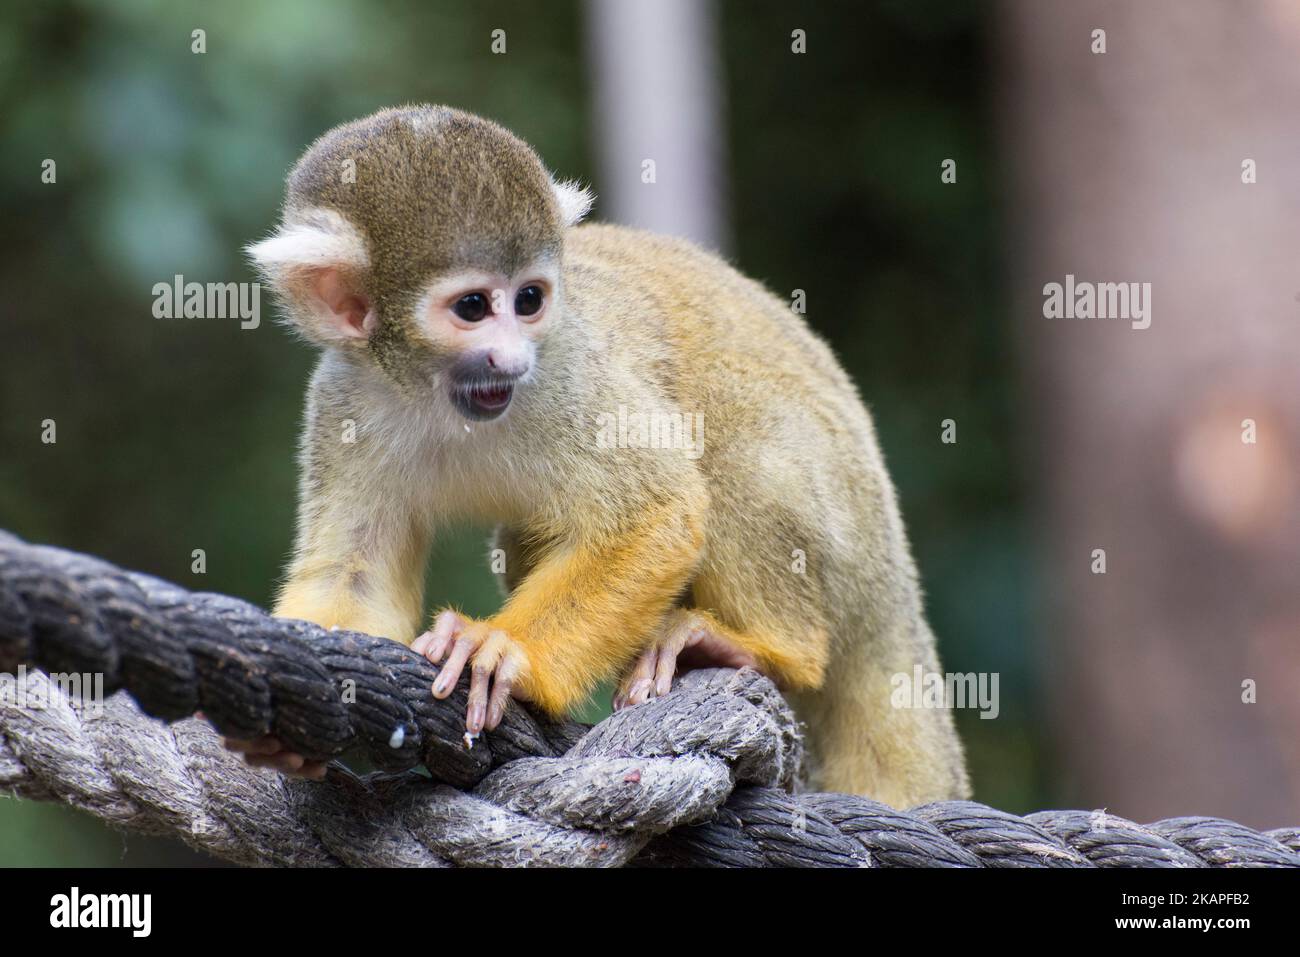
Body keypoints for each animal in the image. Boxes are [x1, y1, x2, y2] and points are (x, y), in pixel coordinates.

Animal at [235, 105, 969, 806]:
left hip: (843, 522)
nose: (512, 358)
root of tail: (891, 571)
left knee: (732, 444)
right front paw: (283, 734)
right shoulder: (343, 398)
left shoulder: (567, 368)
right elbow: (353, 574)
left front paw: (504, 651)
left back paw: (769, 649)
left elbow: (660, 508)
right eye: (473, 307)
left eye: (529, 299)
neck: (437, 393)